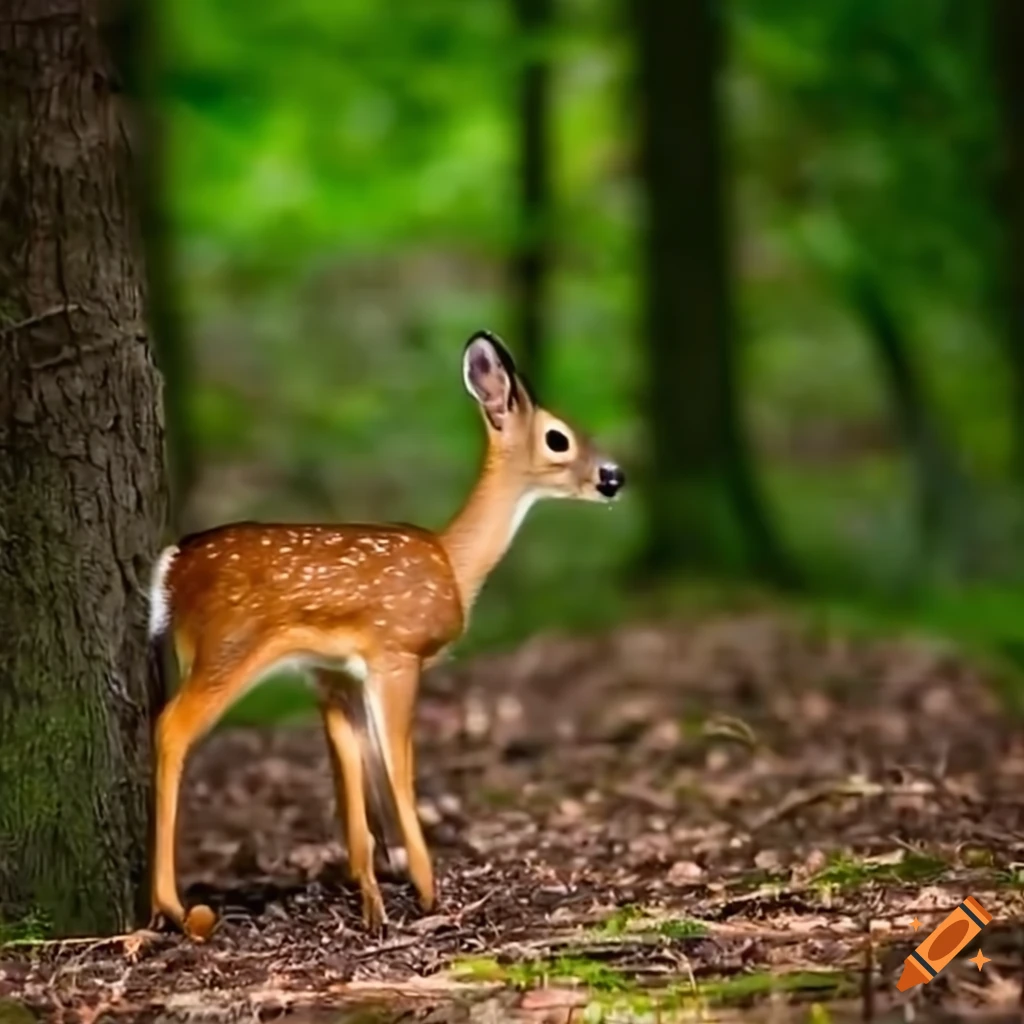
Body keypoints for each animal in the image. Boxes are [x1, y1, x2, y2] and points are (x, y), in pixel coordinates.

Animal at [146, 330, 625, 941]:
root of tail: (171, 567)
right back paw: (171, 904)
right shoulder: (397, 652)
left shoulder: (330, 673)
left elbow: (353, 773)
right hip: (227, 646)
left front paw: (372, 898)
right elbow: (400, 768)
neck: (455, 566)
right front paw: (426, 890)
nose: (614, 477)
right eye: (558, 437)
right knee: (172, 727)